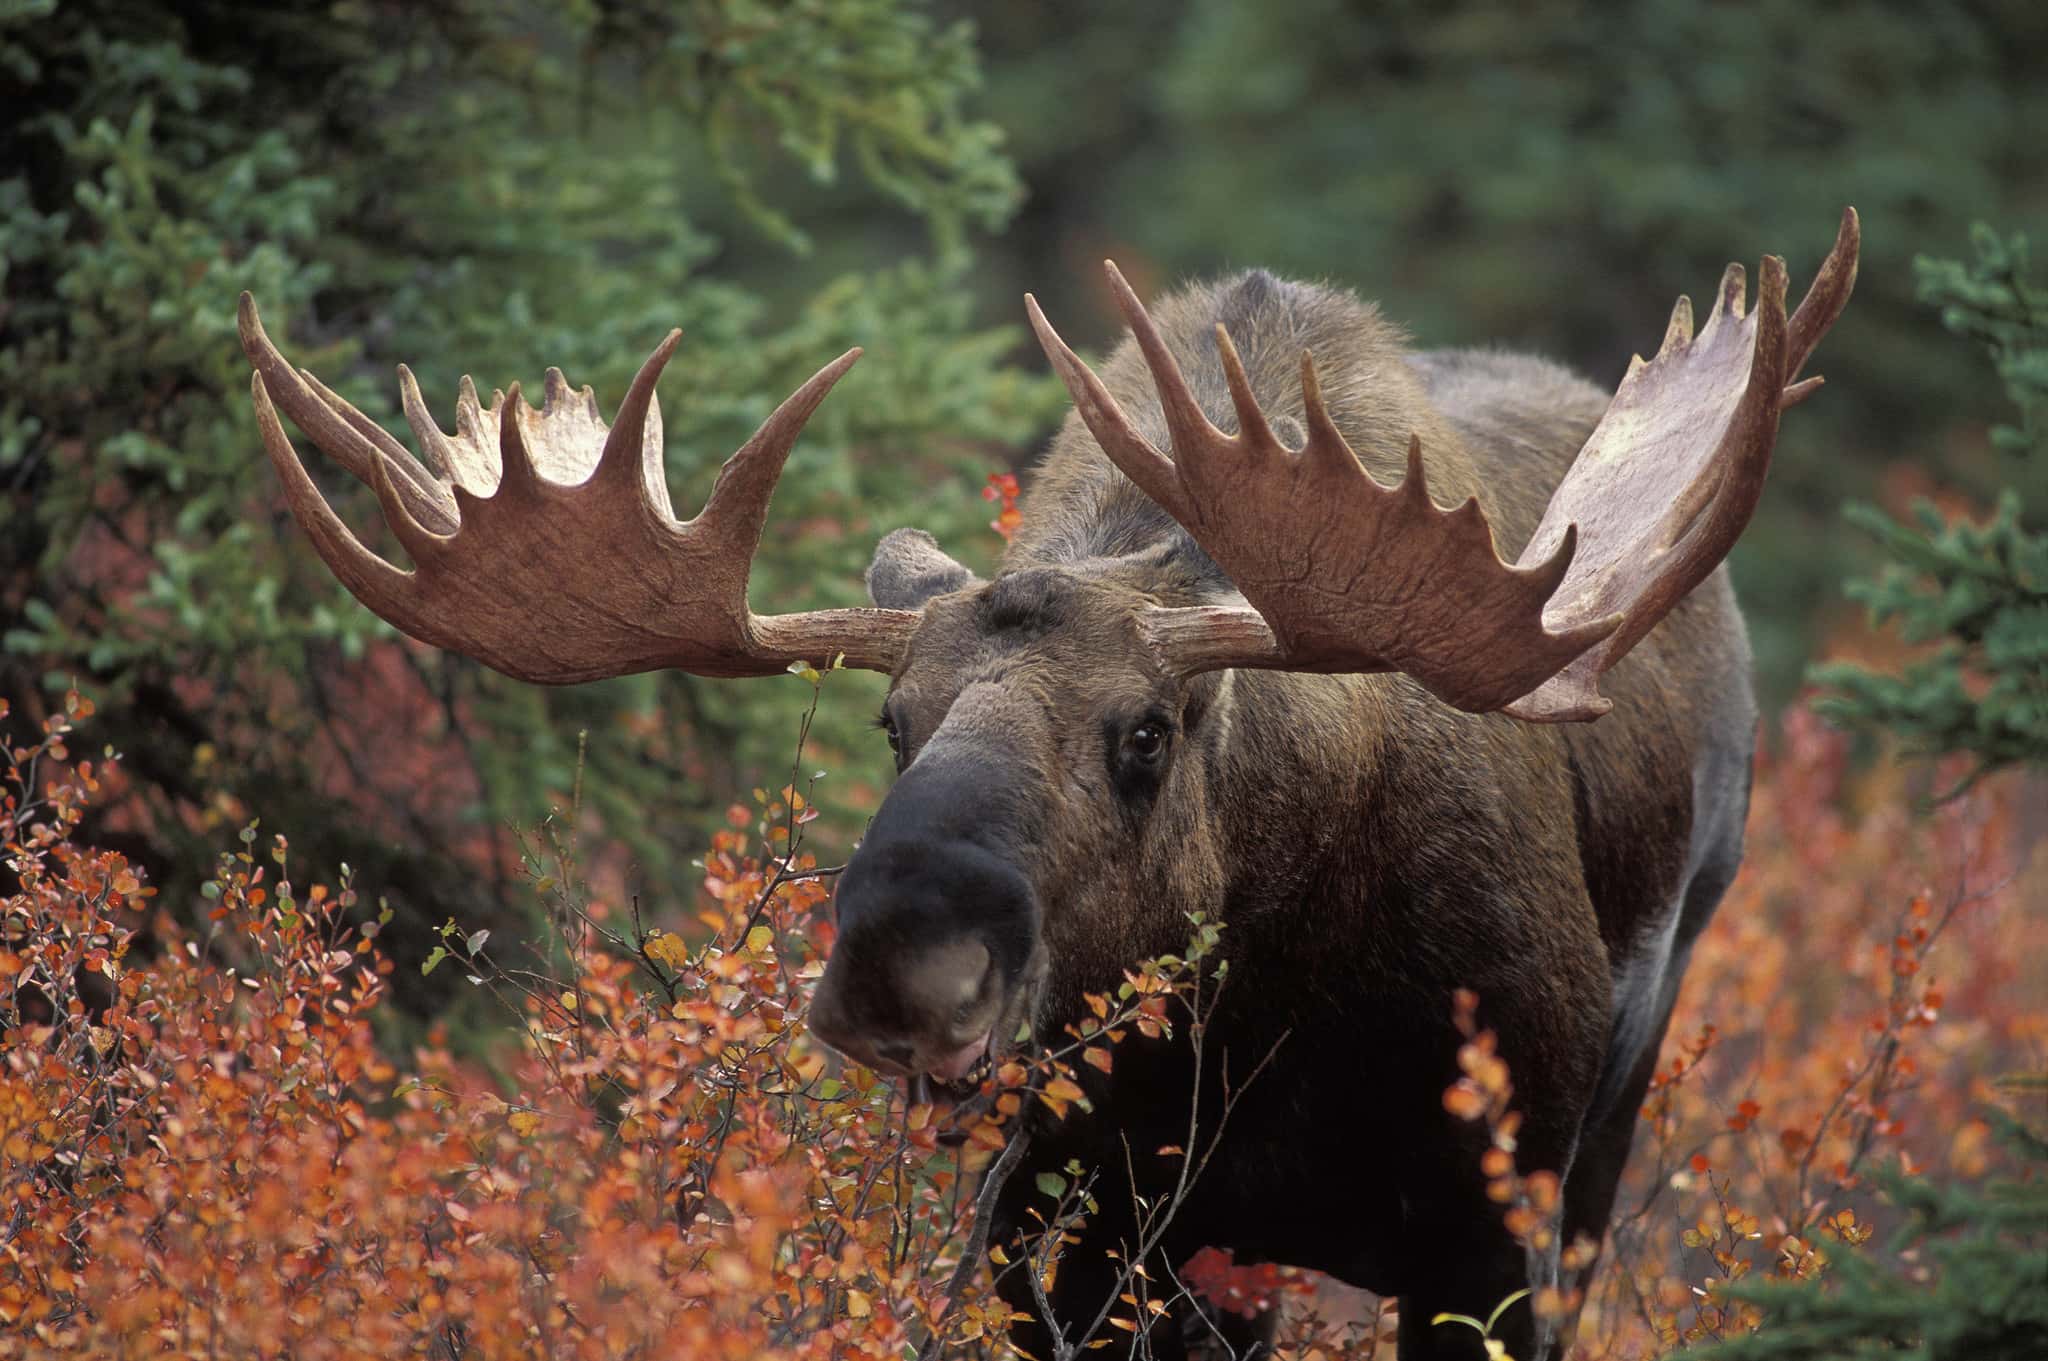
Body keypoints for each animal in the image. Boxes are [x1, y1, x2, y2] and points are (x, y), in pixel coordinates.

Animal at [237, 208, 1857, 1360]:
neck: (1262, 1010)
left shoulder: (1492, 1220)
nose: (904, 962)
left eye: (1146, 730)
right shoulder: (1063, 1225)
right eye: (892, 719)